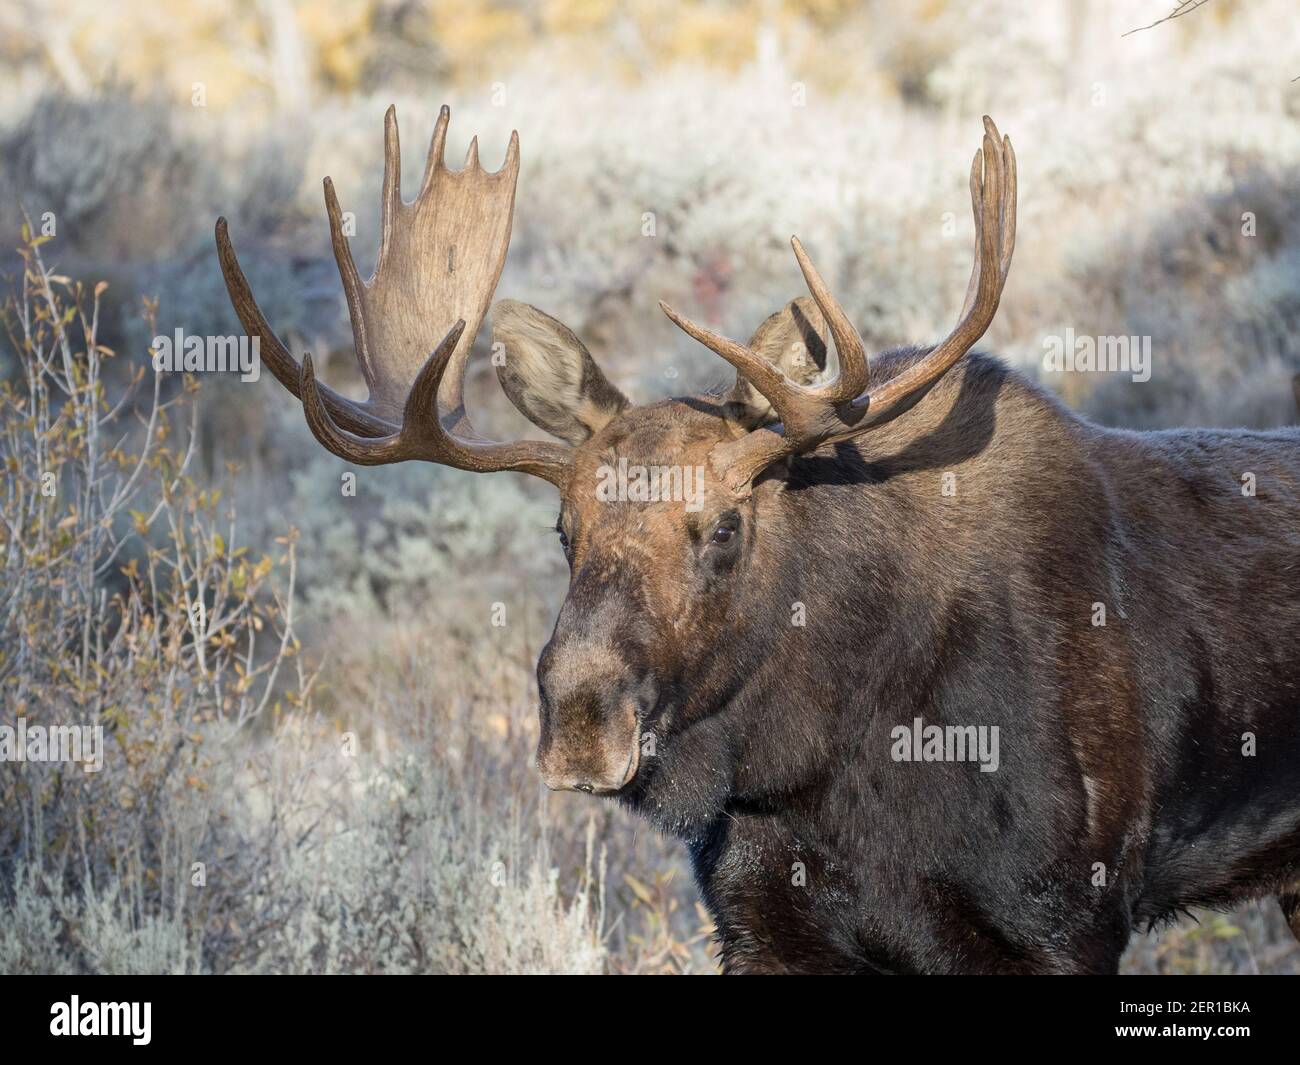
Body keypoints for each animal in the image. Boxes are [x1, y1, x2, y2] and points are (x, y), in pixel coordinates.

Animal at [216, 106, 1300, 974]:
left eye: (726, 527)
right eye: (563, 531)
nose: (581, 720)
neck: (826, 767)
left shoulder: (1060, 919)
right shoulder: (757, 919)